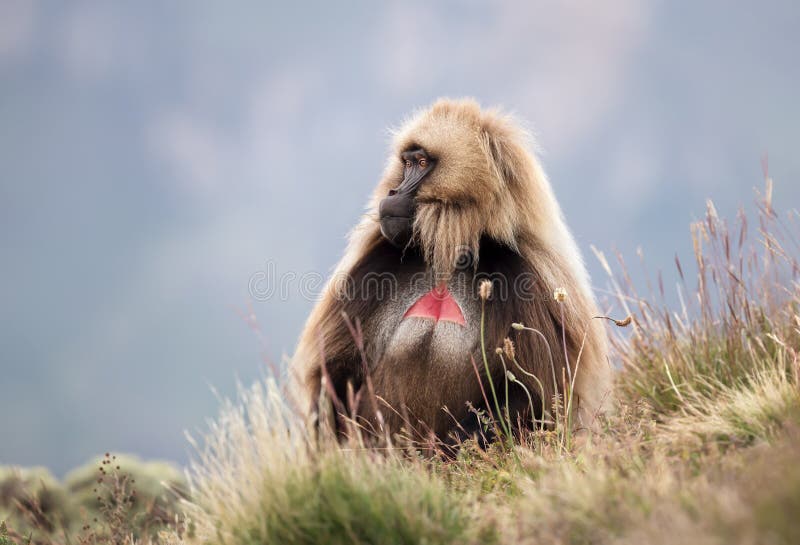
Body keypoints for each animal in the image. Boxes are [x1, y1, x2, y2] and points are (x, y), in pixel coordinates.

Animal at [288, 98, 613, 447]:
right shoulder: (378, 264)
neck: (450, 255)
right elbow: (336, 370)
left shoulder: (522, 274)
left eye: (421, 163)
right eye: (406, 163)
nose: (392, 193)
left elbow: (534, 392)